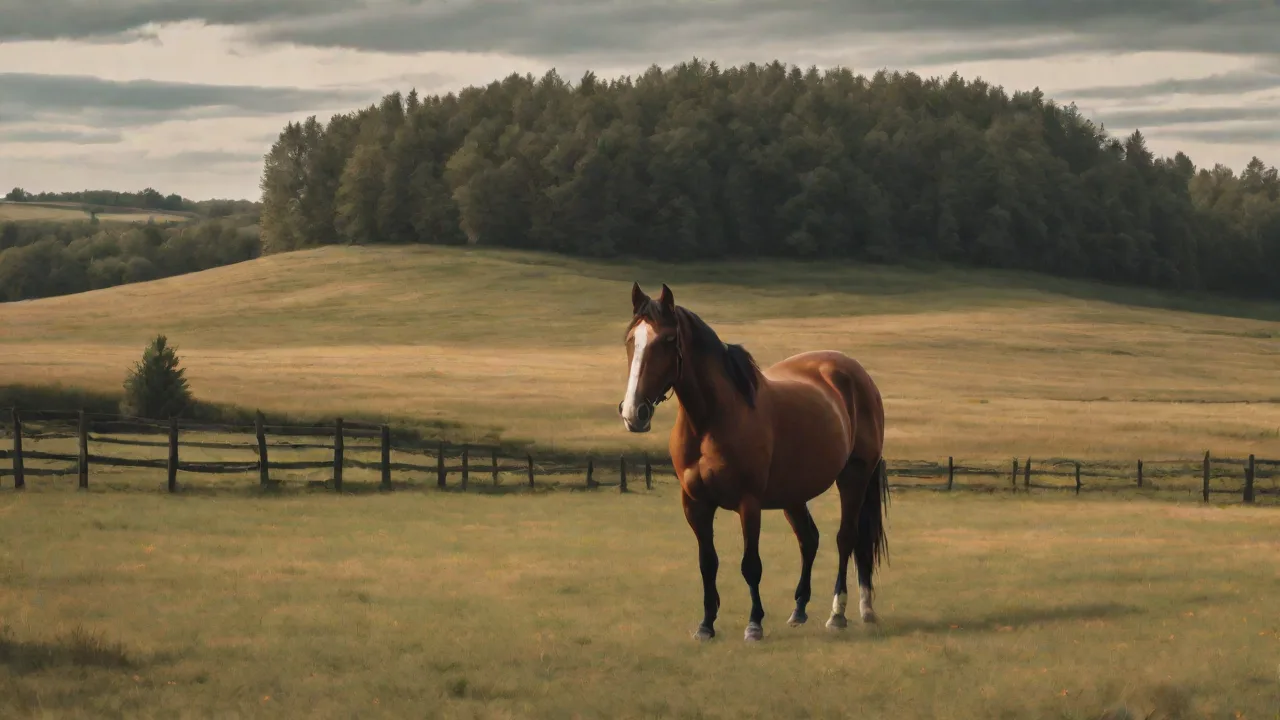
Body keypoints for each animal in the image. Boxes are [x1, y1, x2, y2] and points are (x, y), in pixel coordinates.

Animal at [617, 282, 888, 642]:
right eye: (630, 339)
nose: (634, 413)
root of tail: (857, 375)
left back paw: (840, 613)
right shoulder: (695, 504)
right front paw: (706, 625)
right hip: (794, 494)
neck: (712, 420)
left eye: (668, 340)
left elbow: (751, 564)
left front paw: (754, 624)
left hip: (854, 477)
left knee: (847, 538)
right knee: (810, 540)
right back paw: (802, 610)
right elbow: (708, 563)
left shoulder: (749, 503)